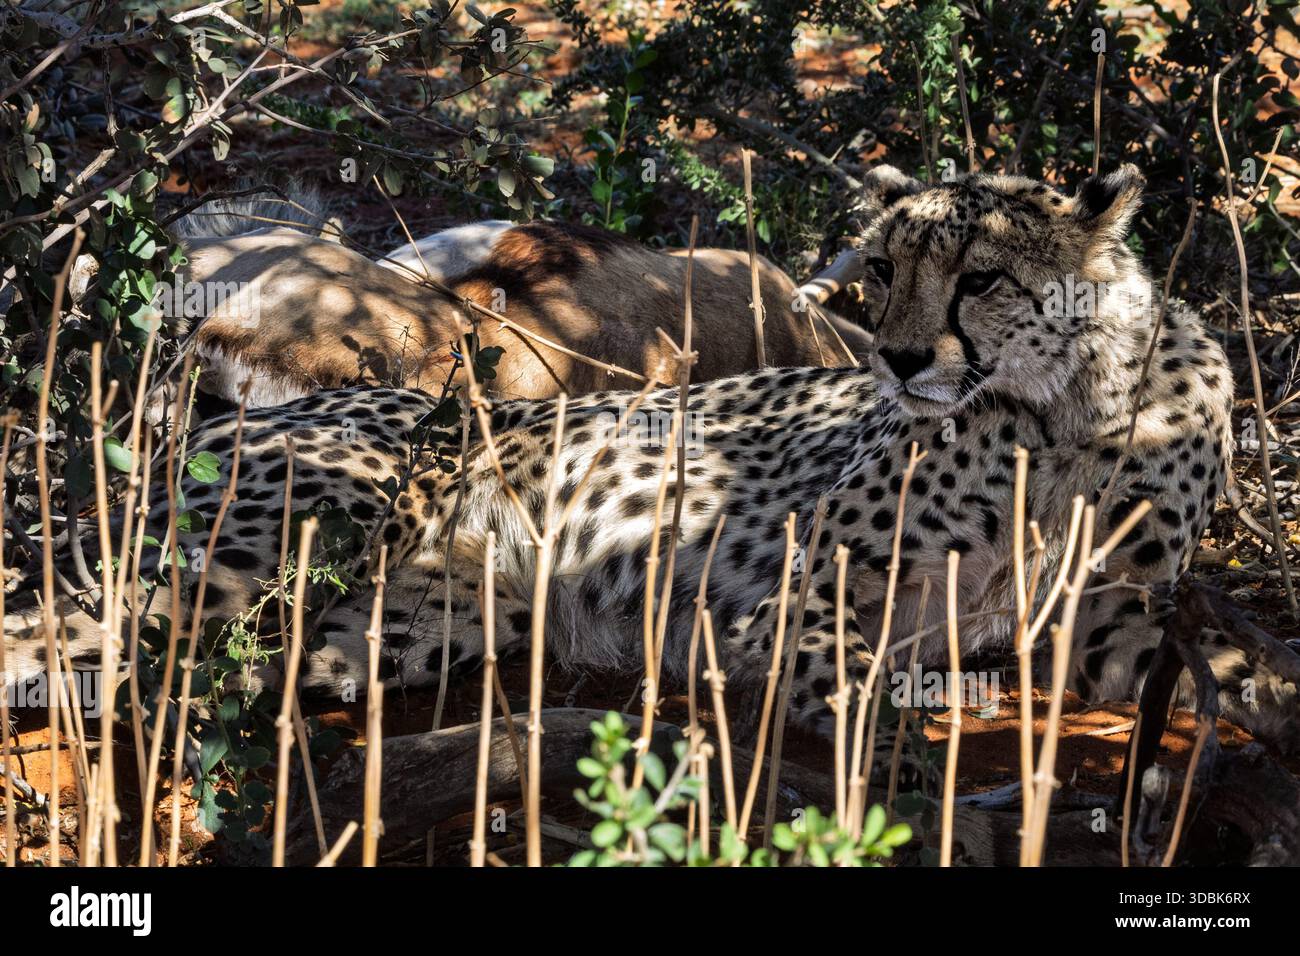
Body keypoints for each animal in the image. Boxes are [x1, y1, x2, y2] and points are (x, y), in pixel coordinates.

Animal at [6, 165, 1296, 753]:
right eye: (884, 266)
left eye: (979, 275)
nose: (893, 356)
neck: (1071, 407)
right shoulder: (805, 586)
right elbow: (856, 688)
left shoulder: (1101, 602)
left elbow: (1215, 650)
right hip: (271, 526)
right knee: (58, 628)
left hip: (397, 618)